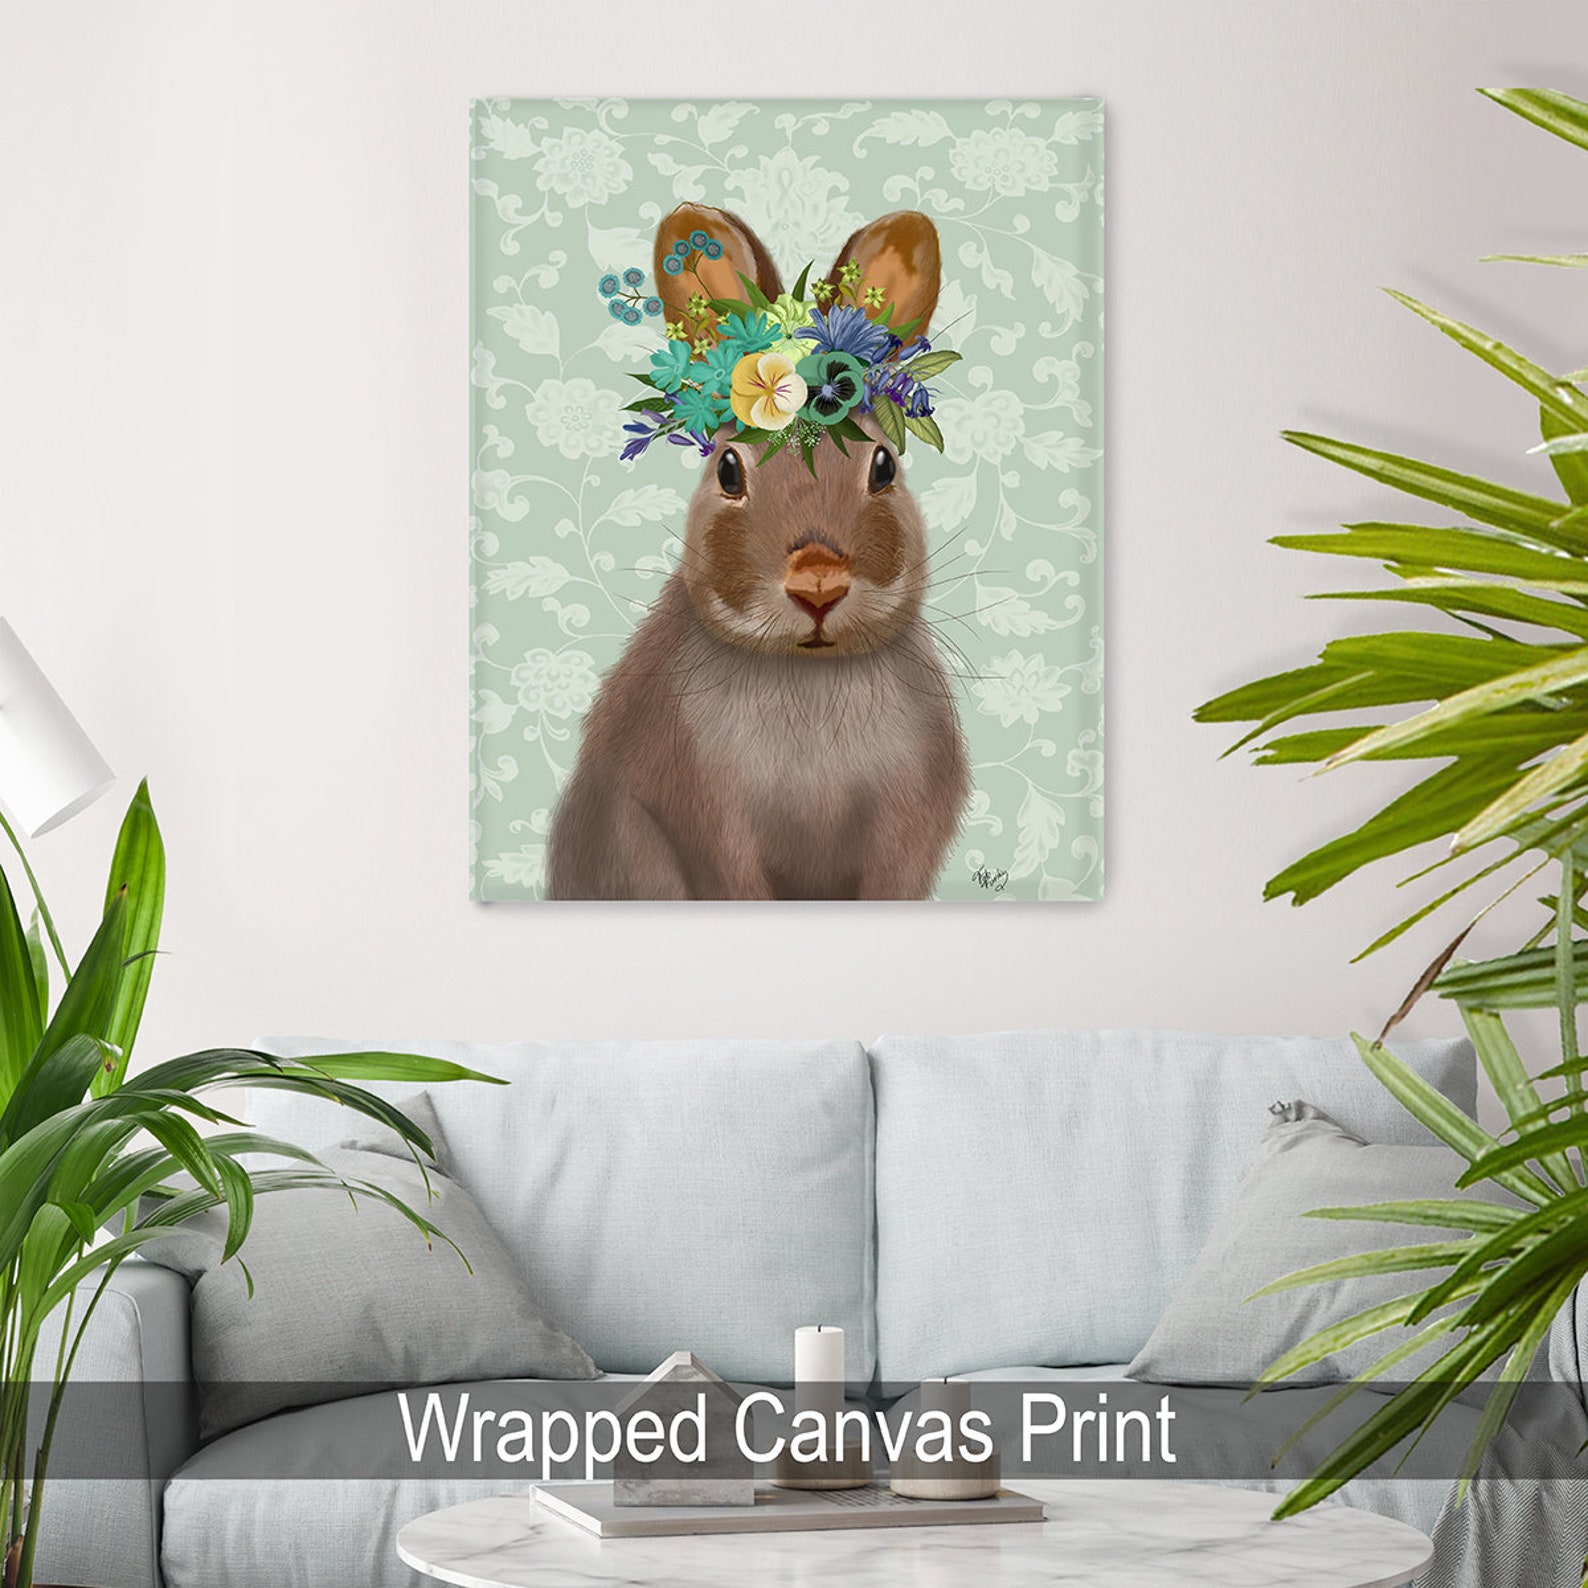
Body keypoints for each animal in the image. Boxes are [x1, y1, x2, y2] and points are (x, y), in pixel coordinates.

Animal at [546, 203, 969, 900]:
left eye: (884, 466)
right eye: (728, 471)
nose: (818, 583)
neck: (806, 672)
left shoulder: (908, 824)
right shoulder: (701, 820)